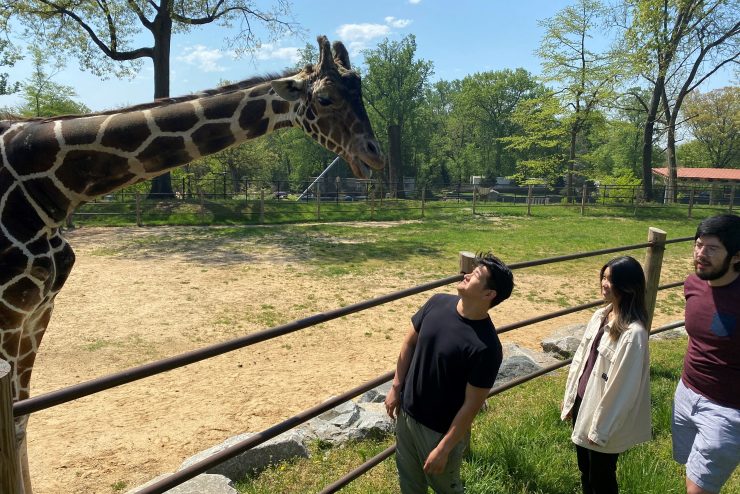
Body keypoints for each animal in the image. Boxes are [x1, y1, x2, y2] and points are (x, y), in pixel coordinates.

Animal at [0, 35, 383, 493]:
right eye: (325, 98)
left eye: (360, 90)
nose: (375, 155)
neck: (51, 186)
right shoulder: (10, 311)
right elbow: (16, 425)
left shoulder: (39, 308)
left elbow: (22, 423)